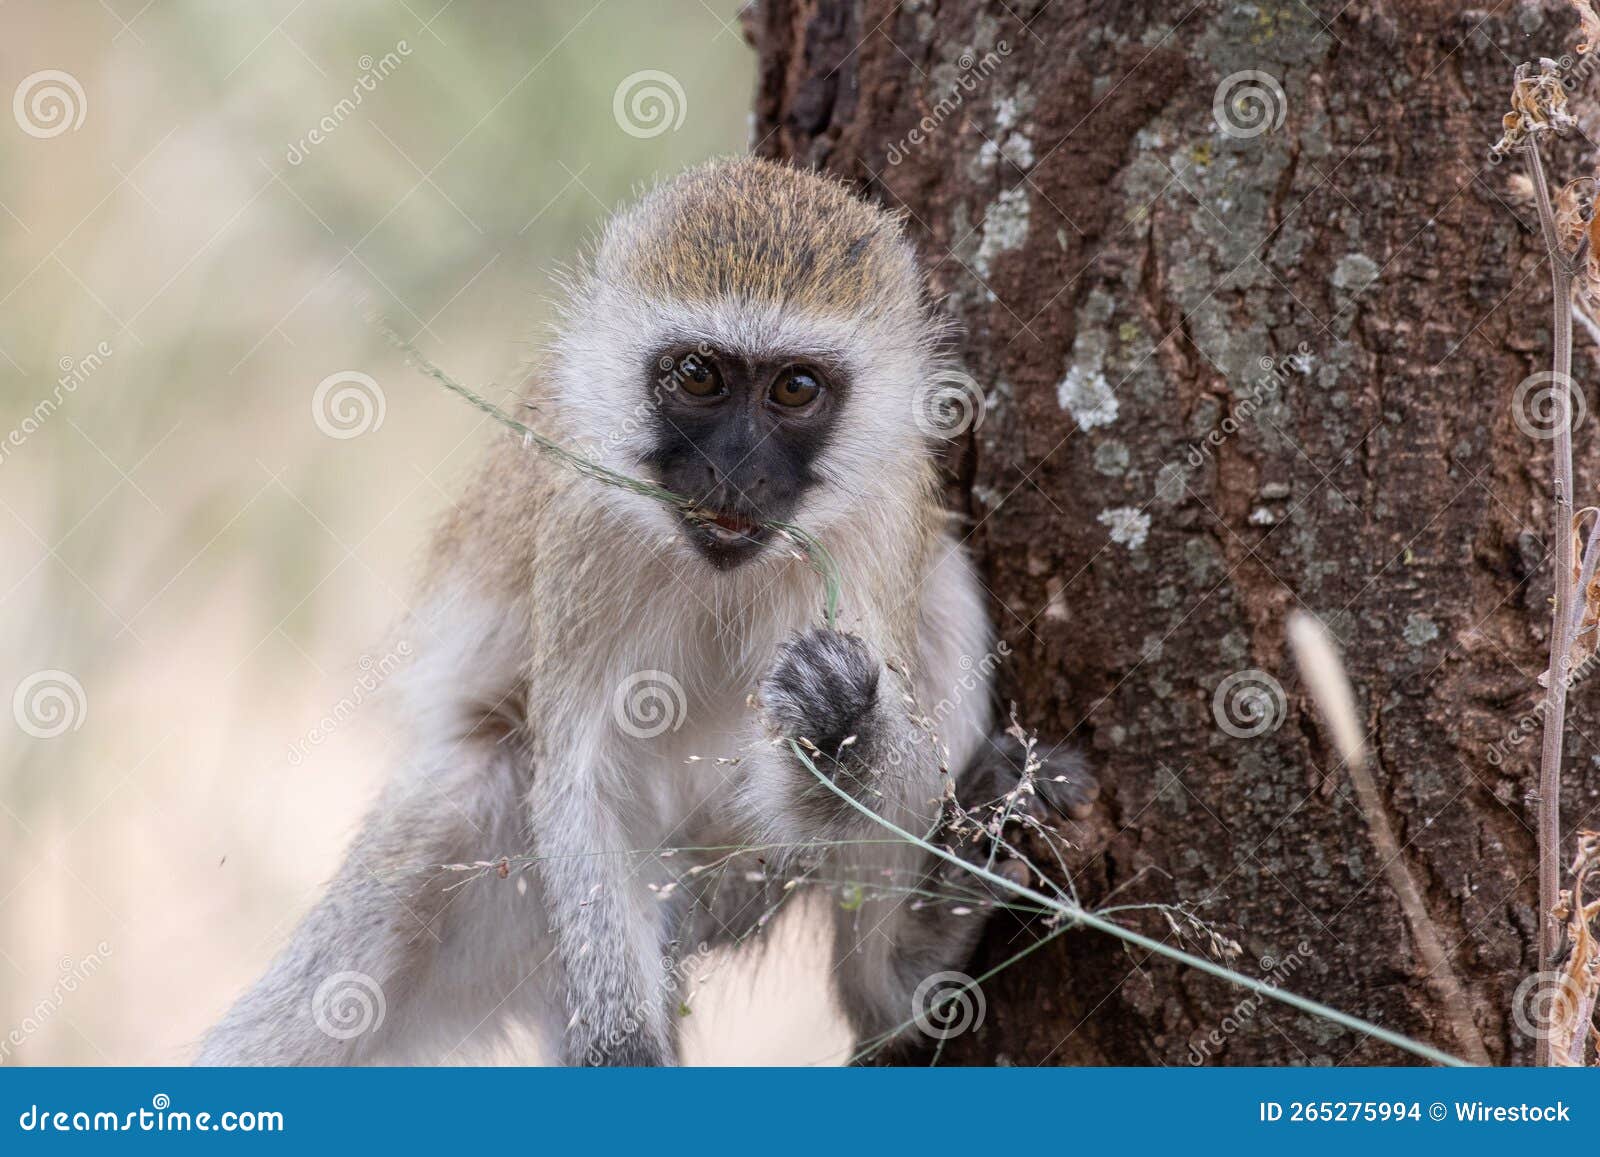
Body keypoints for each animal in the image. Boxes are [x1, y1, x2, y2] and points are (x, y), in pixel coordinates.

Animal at [197, 157, 1096, 1066]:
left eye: (795, 387)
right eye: (698, 375)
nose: (734, 470)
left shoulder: (882, 520)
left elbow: (882, 760)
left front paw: (838, 724)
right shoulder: (583, 520)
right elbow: (584, 772)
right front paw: (624, 1046)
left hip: (726, 876)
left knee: (945, 589)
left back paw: (898, 971)